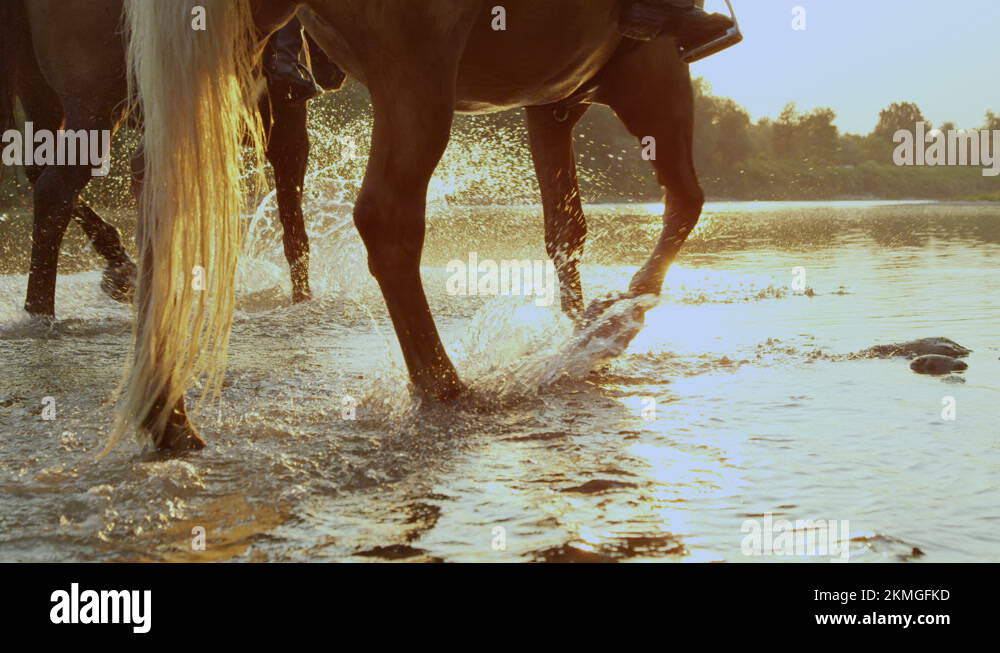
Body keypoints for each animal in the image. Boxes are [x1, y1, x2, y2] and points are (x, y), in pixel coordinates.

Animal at [0, 0, 331, 320]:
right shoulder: (289, 135)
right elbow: (294, 231)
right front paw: (302, 298)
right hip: (96, 105)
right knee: (56, 189)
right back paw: (42, 309)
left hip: (38, 92)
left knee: (40, 174)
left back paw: (119, 270)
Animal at [117, 0, 706, 452]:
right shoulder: (651, 69)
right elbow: (684, 204)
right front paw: (618, 314)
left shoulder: (554, 102)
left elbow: (566, 228)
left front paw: (580, 328)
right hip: (417, 67)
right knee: (387, 218)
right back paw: (444, 388)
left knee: (159, 187)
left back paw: (168, 417)